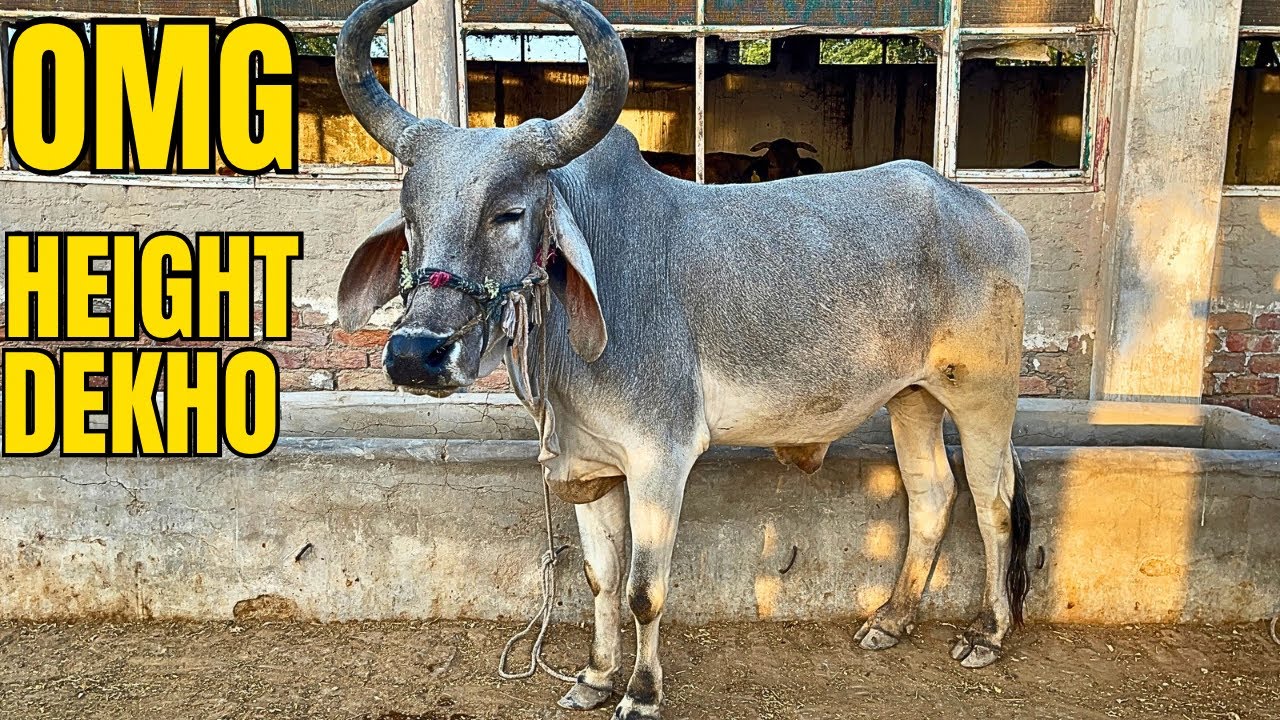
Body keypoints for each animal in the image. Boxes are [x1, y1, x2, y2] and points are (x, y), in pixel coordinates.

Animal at [335, 1, 1032, 718]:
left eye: (509, 213)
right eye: (409, 217)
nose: (416, 354)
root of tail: (982, 209)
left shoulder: (659, 458)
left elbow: (644, 590)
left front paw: (641, 692)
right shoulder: (593, 464)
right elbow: (600, 578)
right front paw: (594, 677)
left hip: (982, 391)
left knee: (992, 500)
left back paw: (988, 632)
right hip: (910, 396)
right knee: (931, 493)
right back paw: (891, 619)